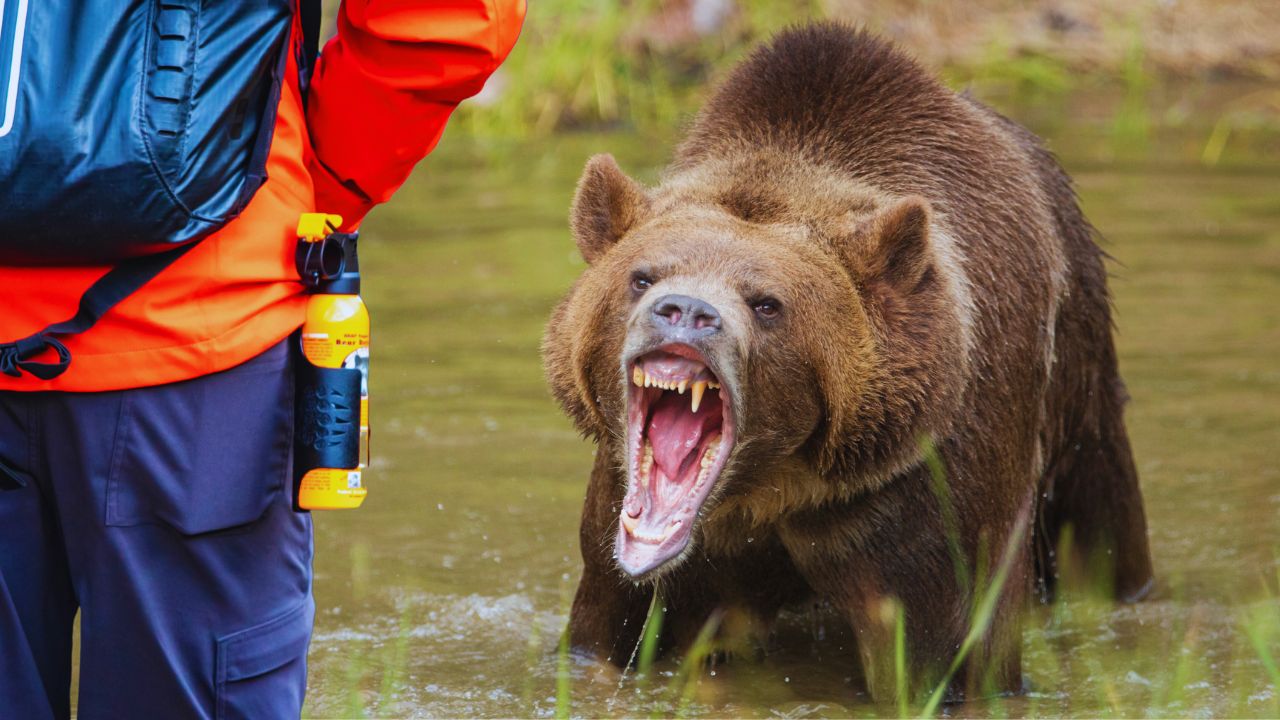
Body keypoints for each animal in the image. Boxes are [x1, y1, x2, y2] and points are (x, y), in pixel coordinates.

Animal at [542, 23, 1154, 703]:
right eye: (642, 276)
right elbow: (607, 629)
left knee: (1099, 526)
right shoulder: (631, 529)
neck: (772, 484)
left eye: (767, 303)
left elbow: (947, 653)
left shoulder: (918, 494)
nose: (685, 311)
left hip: (1078, 381)